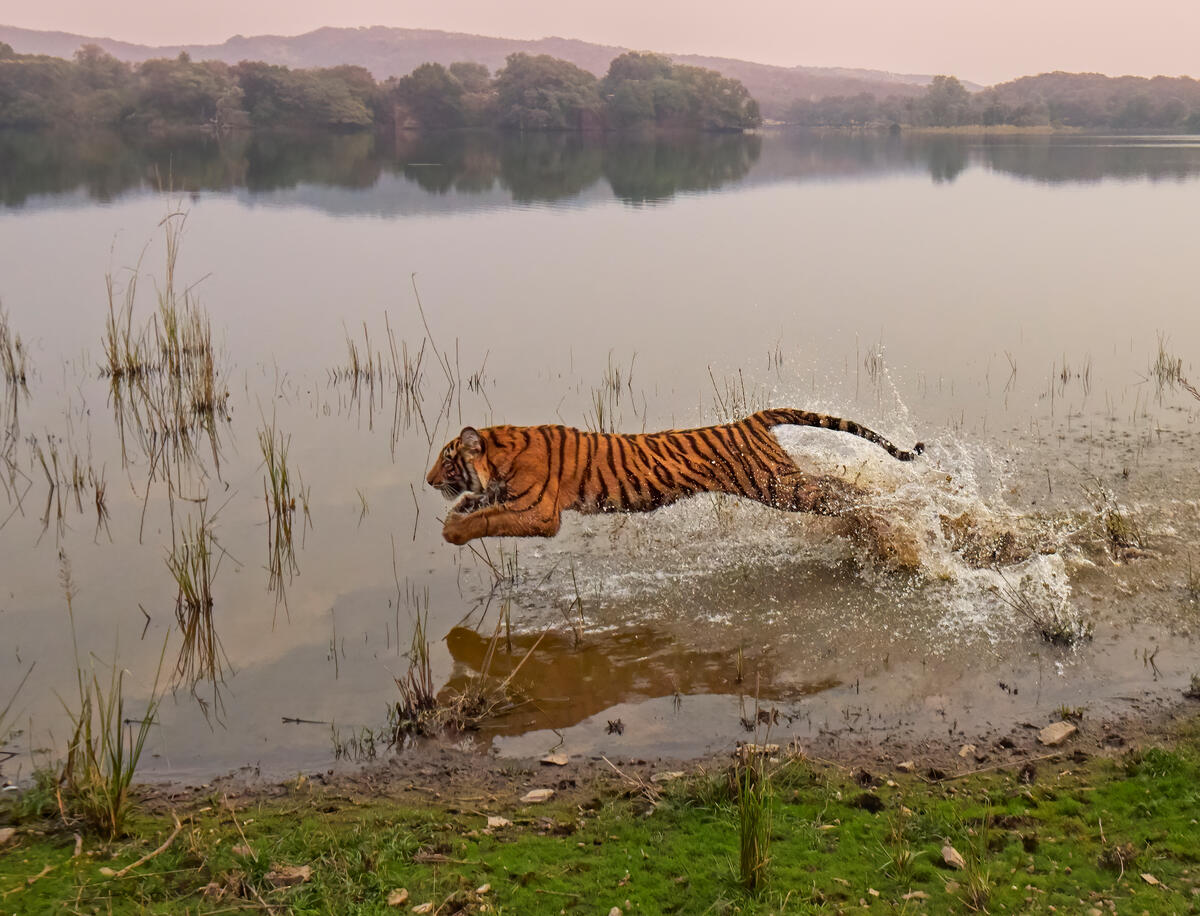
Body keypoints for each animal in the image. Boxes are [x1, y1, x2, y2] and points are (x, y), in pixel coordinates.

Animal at [426, 408, 923, 546]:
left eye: (447, 460)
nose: (428, 481)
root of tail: (751, 419)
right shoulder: (508, 495)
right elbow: (478, 505)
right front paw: (454, 517)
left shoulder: (539, 512)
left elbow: (489, 519)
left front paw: (453, 532)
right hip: (783, 482)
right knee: (840, 487)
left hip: (777, 485)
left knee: (840, 493)